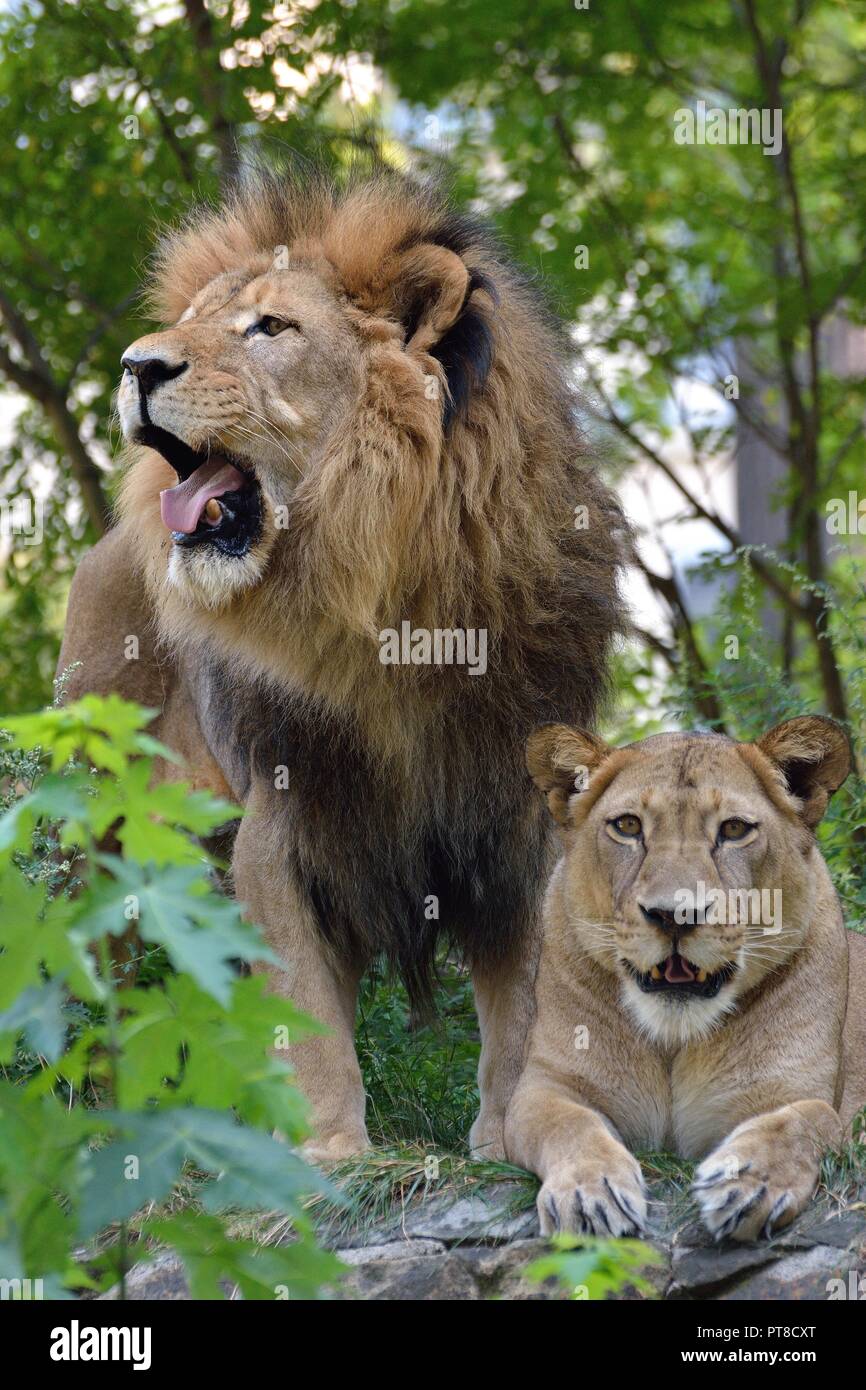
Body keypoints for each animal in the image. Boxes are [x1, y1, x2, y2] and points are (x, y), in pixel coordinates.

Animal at [57, 167, 627, 1162]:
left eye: (269, 328)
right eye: (193, 321)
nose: (135, 367)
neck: (388, 604)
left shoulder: (517, 818)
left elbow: (523, 1006)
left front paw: (508, 1135)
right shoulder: (289, 820)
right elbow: (306, 1012)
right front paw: (327, 1151)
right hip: (94, 830)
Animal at [505, 716, 866, 1241]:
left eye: (734, 829)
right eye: (628, 826)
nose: (674, 915)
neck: (675, 1040)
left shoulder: (800, 1093)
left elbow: (805, 1123)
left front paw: (746, 1183)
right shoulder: (546, 1084)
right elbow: (568, 1123)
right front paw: (590, 1195)